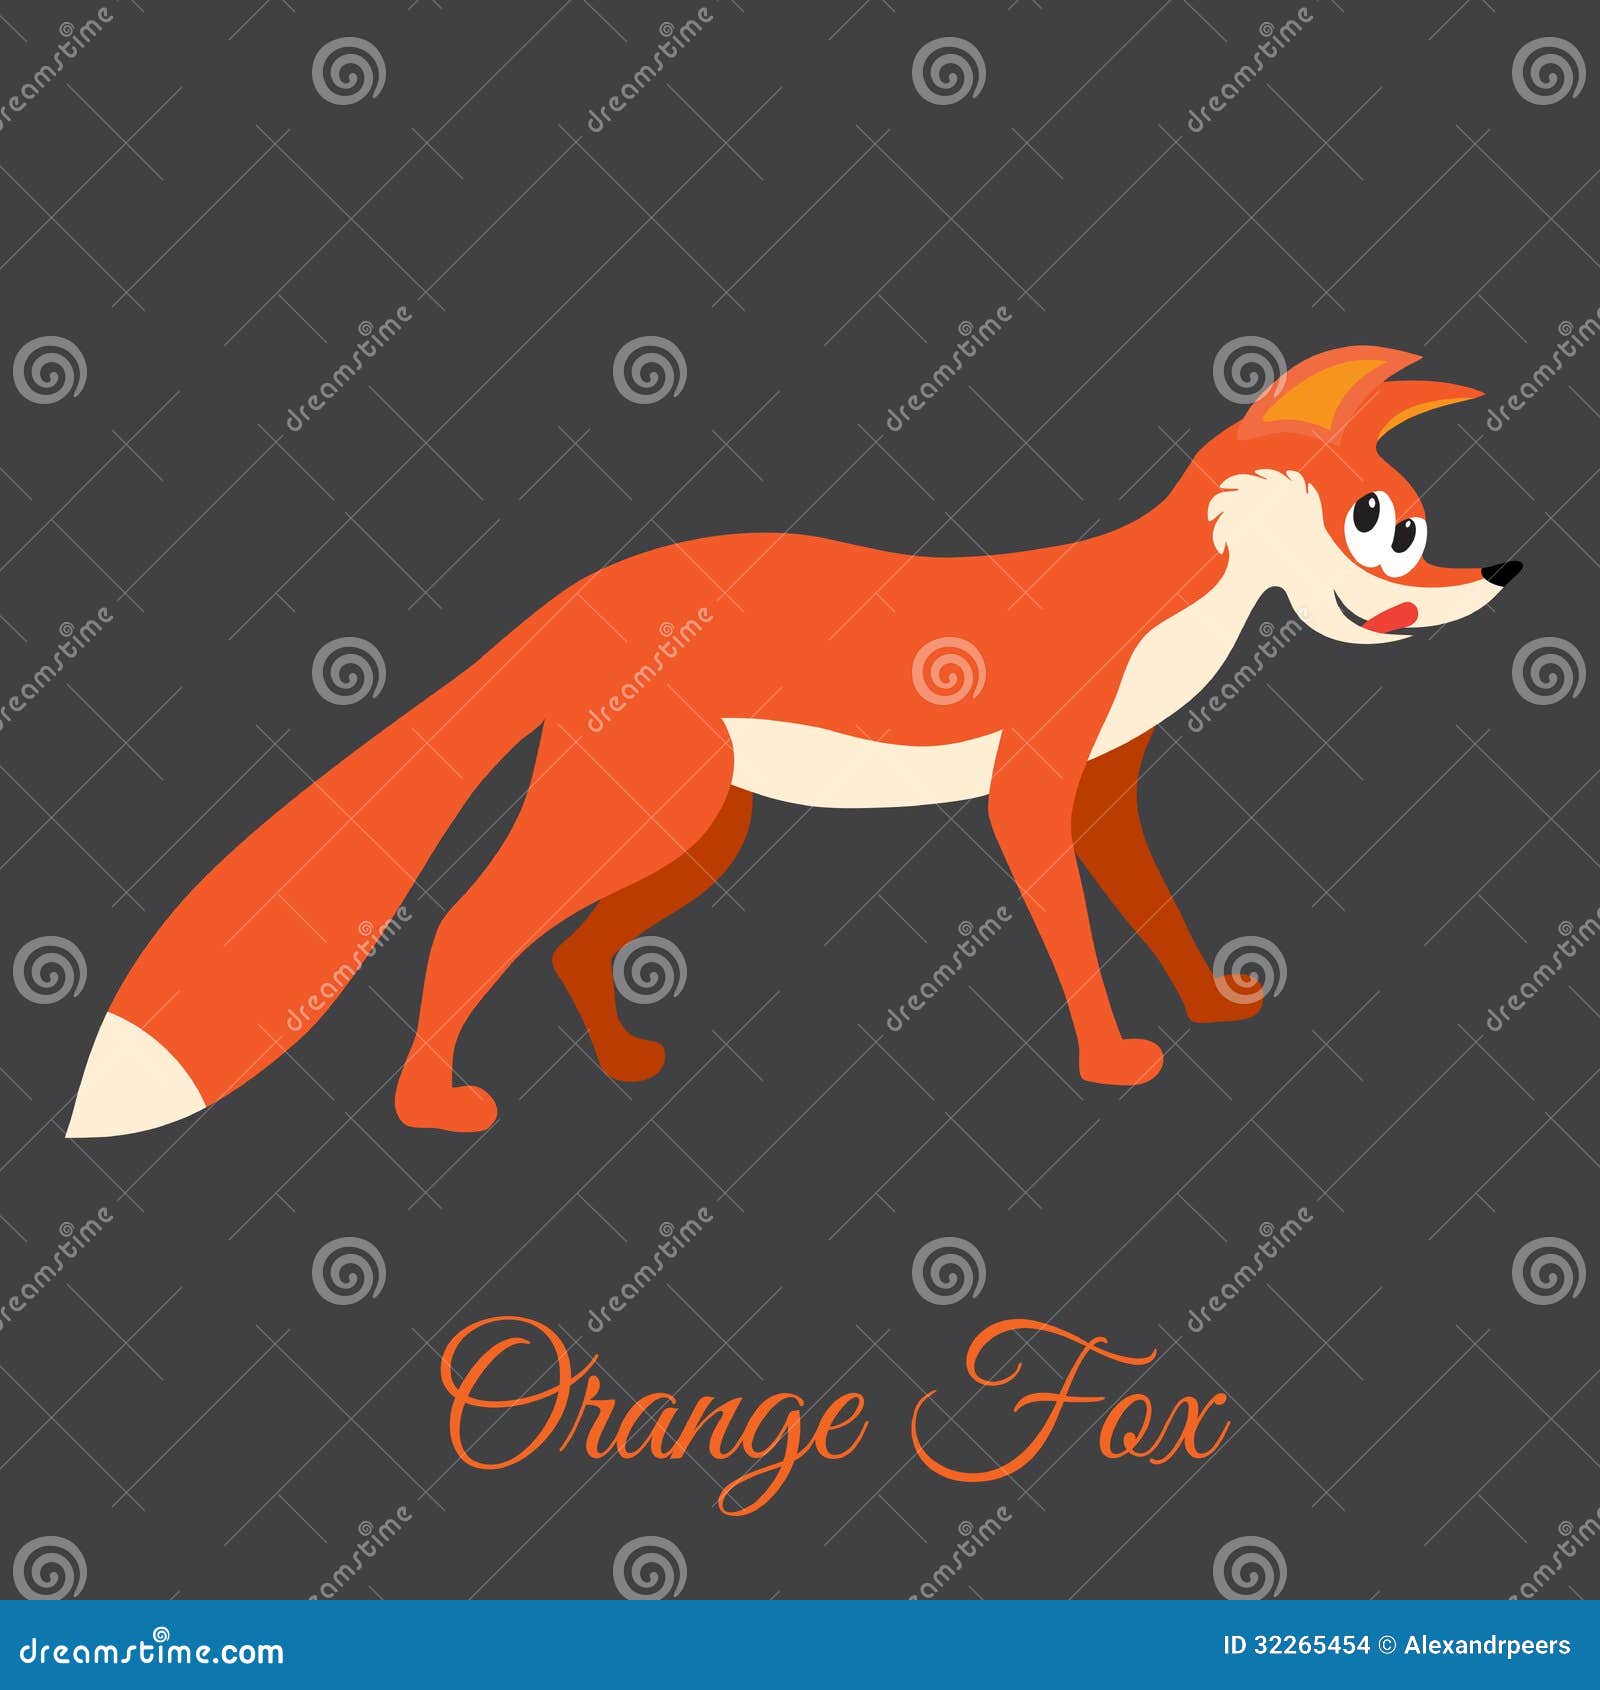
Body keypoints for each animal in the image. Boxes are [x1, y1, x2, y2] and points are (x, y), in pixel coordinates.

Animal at [67, 346, 1522, 1139]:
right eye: (1385, 522)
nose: (1504, 569)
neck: (1163, 597)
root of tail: (579, 596)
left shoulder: (1109, 787)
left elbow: (1154, 909)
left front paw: (1212, 1007)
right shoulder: (1032, 780)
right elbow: (1070, 933)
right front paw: (1111, 1058)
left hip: (695, 829)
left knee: (575, 944)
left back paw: (622, 1064)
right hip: (634, 809)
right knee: (473, 926)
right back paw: (436, 1106)